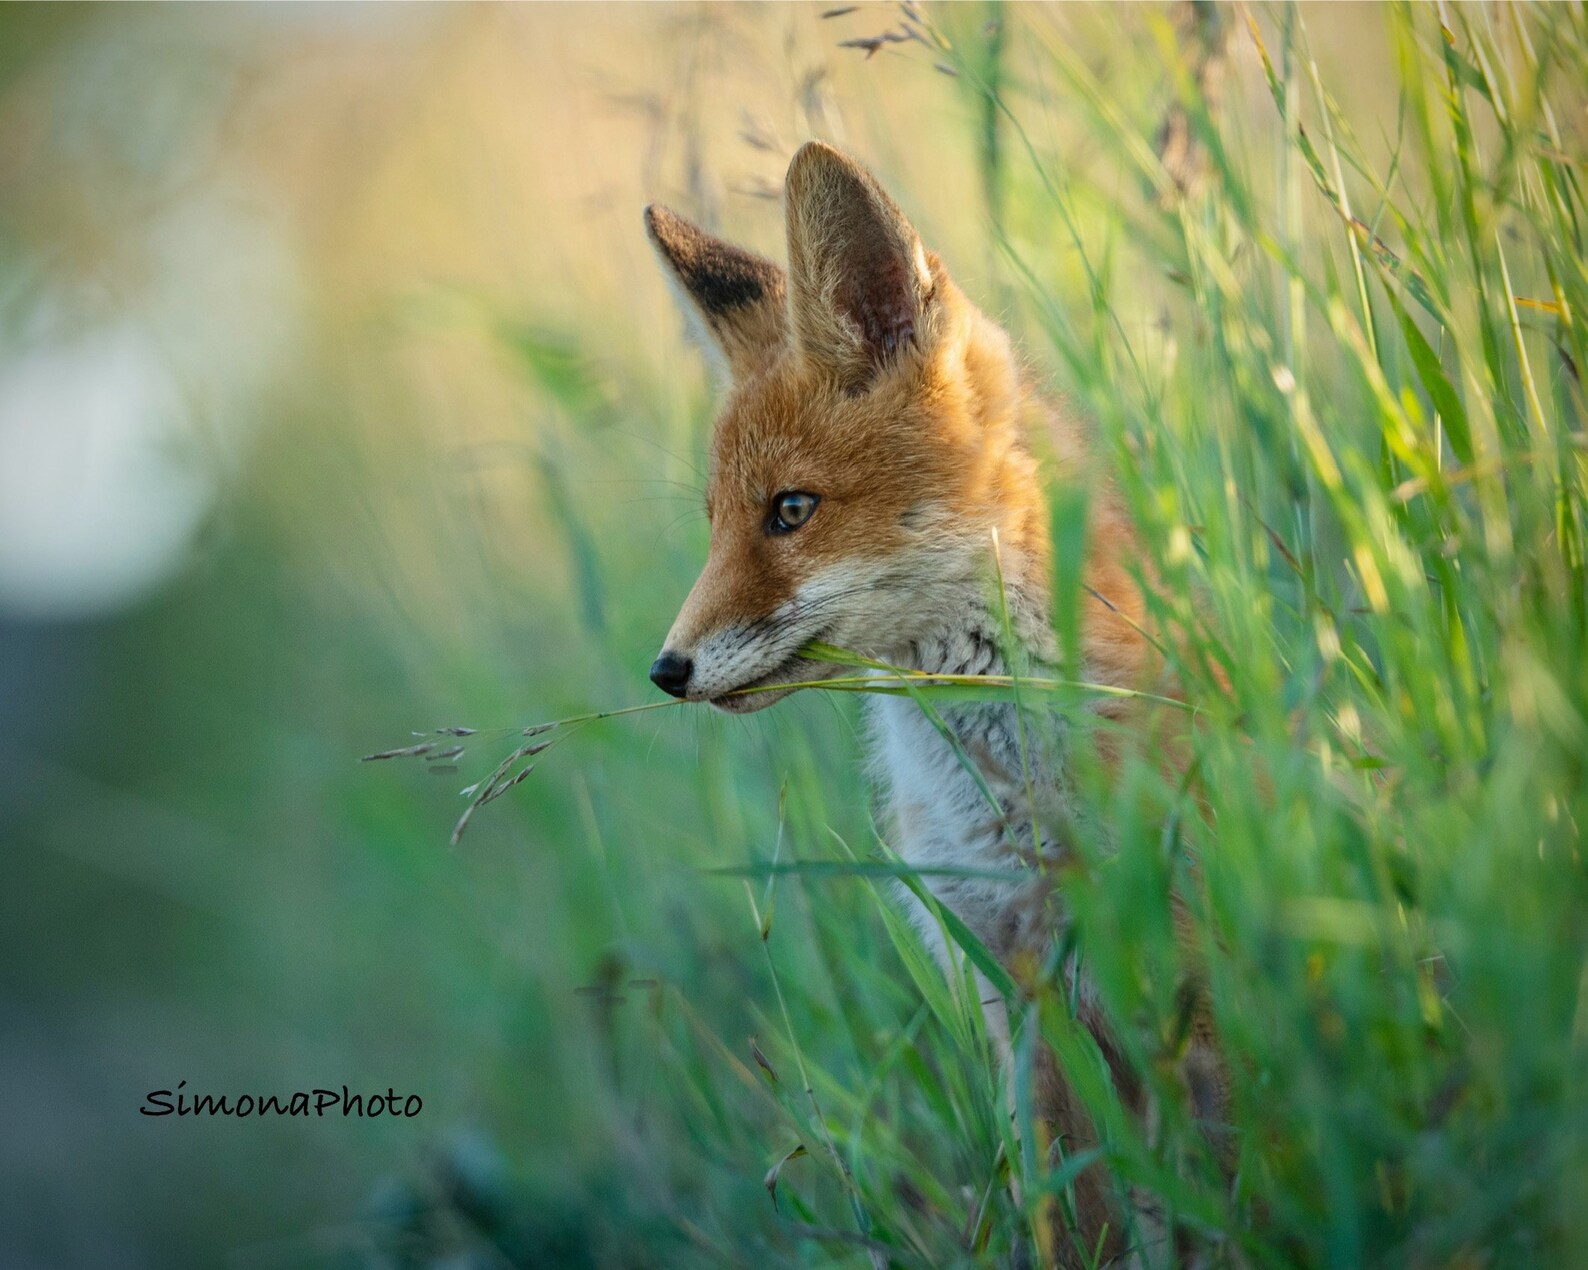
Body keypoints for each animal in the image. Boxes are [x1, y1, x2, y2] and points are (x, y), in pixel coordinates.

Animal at [643, 141, 1224, 1268]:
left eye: (790, 510)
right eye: (714, 522)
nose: (666, 669)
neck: (1000, 798)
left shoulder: (1172, 975)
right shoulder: (1017, 993)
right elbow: (1067, 1219)